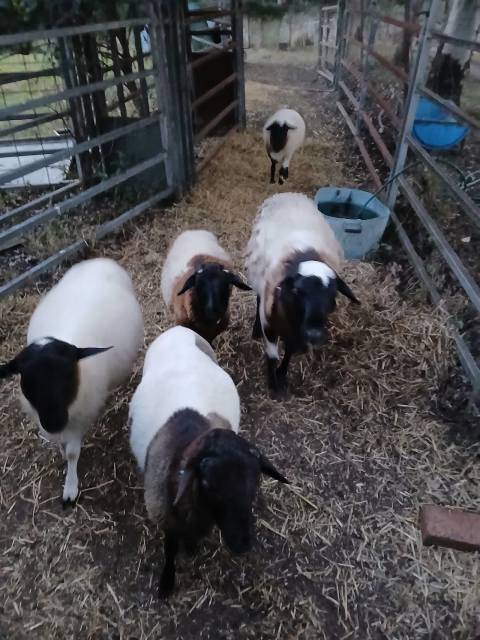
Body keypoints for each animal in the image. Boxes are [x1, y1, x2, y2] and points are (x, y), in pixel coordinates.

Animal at [0, 258, 144, 506]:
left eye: (68, 375)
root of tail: (100, 260)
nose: (53, 423)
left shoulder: (79, 417)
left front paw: (70, 487)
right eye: (27, 381)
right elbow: (61, 445)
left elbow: (72, 453)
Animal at [129, 325, 288, 597]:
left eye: (255, 482)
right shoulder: (167, 520)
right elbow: (169, 551)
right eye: (208, 485)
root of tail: (178, 328)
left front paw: (191, 549)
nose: (242, 543)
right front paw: (166, 584)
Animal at [244, 192, 360, 393]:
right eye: (297, 290)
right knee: (258, 297)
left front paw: (282, 374)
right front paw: (273, 386)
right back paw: (255, 330)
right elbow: (271, 356)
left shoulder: (296, 334)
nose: (314, 334)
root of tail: (288, 194)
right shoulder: (270, 324)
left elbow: (290, 350)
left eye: (333, 295)